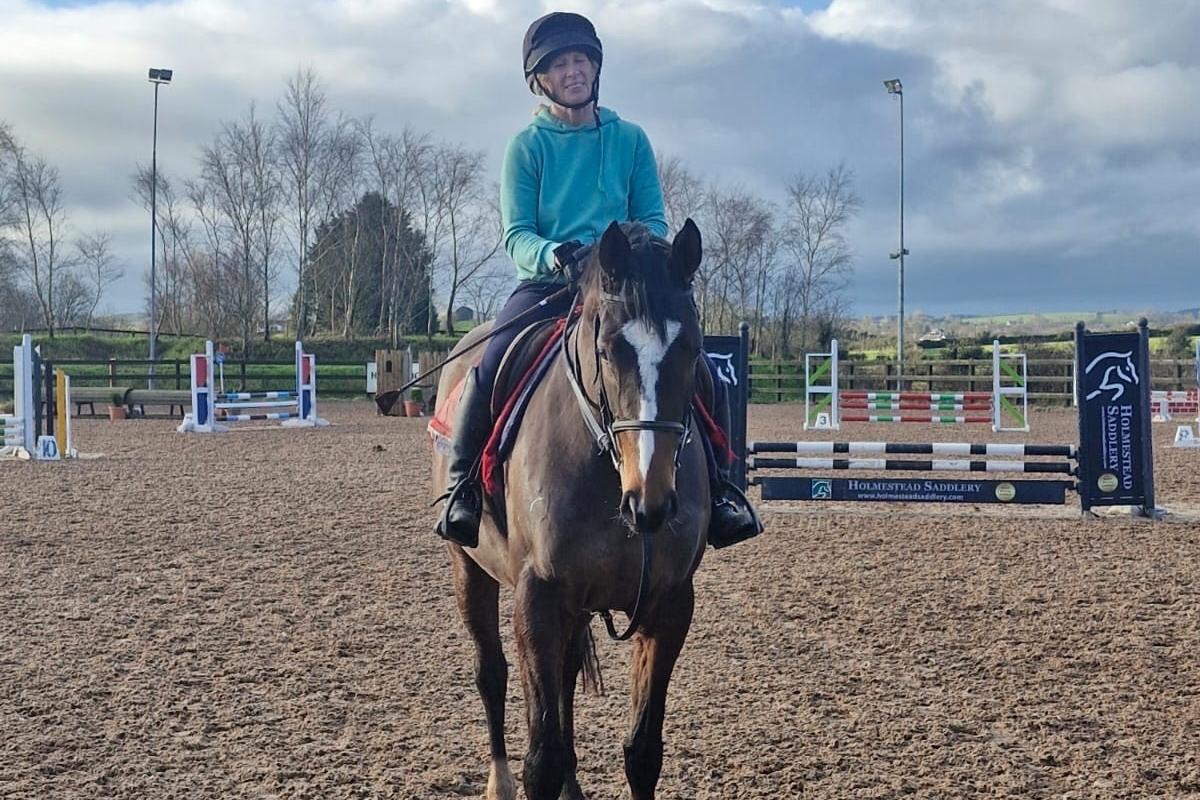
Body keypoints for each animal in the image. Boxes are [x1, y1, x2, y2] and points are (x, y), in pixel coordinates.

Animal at [431, 219, 711, 800]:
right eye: (607, 350)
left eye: (694, 350)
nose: (650, 501)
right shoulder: (537, 598)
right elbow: (542, 757)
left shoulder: (670, 605)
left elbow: (642, 752)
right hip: (469, 567)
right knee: (491, 673)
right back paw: (498, 781)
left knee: (561, 683)